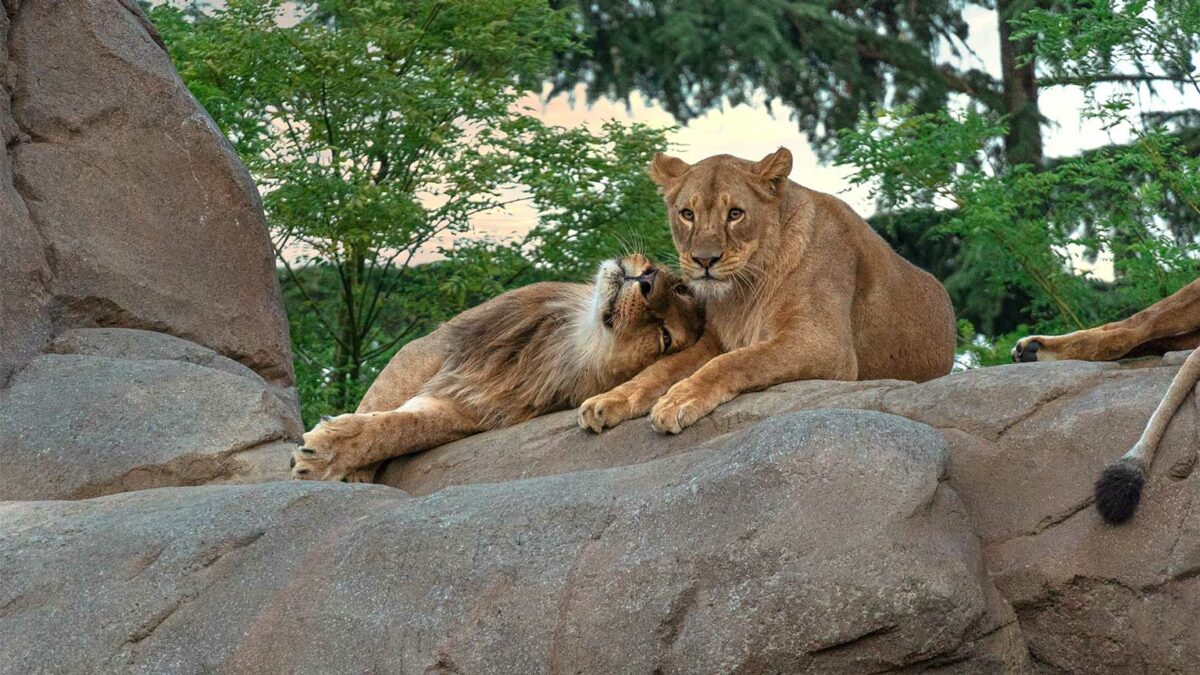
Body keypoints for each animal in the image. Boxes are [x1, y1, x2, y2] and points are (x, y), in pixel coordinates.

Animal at [290, 253, 704, 481]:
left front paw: (329, 457)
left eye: (665, 337)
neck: (563, 345)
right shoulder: (433, 349)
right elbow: (382, 399)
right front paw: (334, 457)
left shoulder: (478, 407)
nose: (648, 276)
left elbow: (405, 428)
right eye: (679, 286)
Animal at [578, 148, 956, 436]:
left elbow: (736, 362)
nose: (704, 260)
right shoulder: (715, 339)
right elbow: (659, 370)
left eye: (735, 213)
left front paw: (677, 401)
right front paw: (607, 400)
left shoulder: (824, 344)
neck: (742, 292)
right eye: (687, 214)